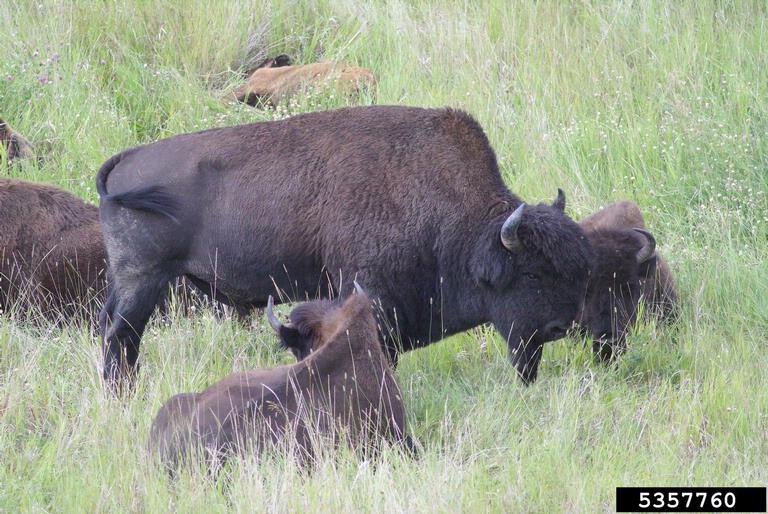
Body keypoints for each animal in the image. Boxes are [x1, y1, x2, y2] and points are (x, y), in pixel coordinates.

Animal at [97, 105, 593, 388]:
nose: (560, 326)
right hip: (144, 279)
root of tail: (126, 159)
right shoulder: (374, 296)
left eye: (577, 269)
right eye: (531, 271)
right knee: (122, 336)